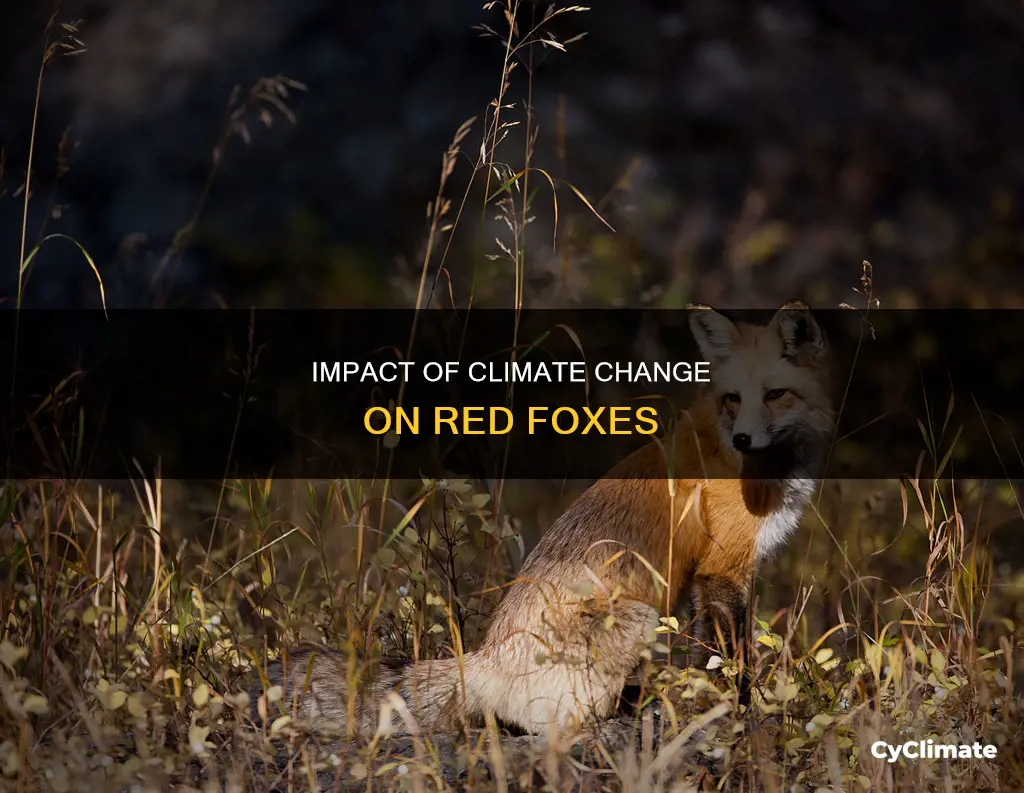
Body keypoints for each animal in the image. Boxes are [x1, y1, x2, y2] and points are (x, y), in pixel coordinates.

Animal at [256, 301, 834, 737]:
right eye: (733, 398)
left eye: (775, 394)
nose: (743, 439)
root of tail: (485, 658)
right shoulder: (723, 567)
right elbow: (732, 660)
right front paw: (741, 711)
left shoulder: (708, 577)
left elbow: (711, 655)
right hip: (639, 615)